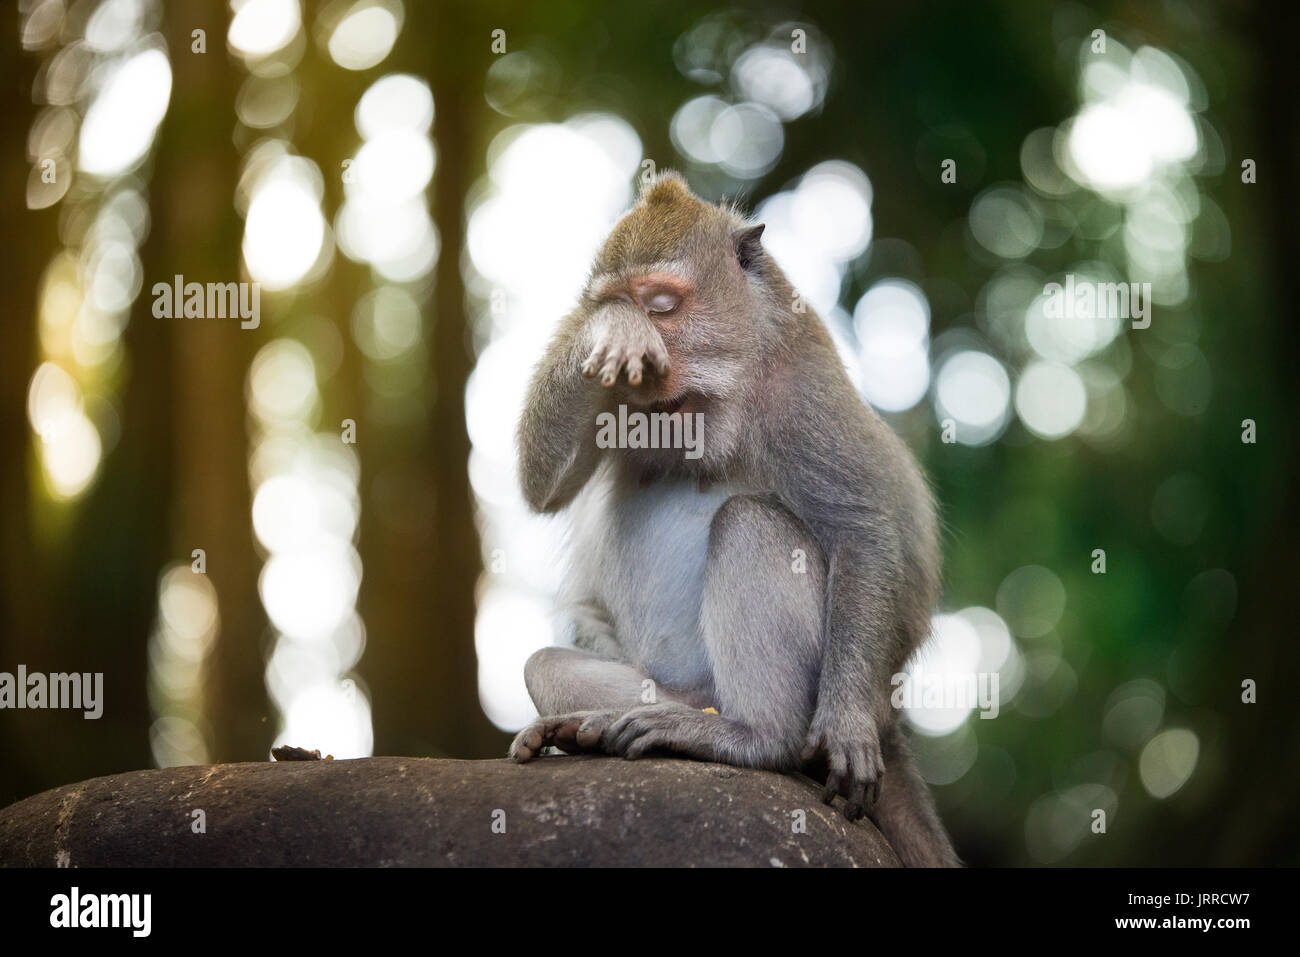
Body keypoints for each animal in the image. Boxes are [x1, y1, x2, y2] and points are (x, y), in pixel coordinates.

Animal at [507, 171, 959, 867]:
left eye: (662, 305)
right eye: (622, 300)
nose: (647, 373)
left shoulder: (804, 390)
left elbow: (863, 528)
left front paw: (845, 725)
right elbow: (543, 483)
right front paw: (610, 327)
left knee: (750, 523)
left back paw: (758, 738)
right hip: (674, 689)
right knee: (549, 668)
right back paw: (592, 730)